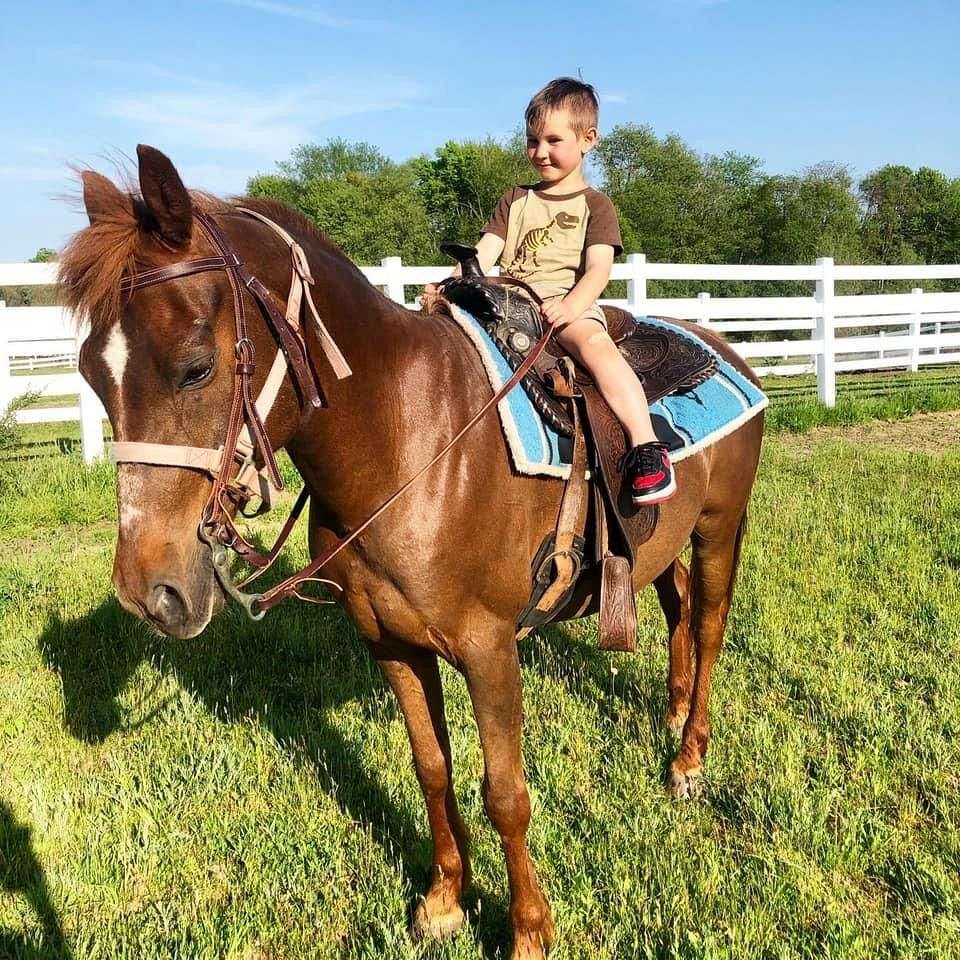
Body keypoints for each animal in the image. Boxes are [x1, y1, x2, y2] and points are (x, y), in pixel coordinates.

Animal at [61, 145, 764, 959]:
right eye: (90, 372)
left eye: (197, 366)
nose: (151, 592)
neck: (410, 439)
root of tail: (725, 346)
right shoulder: (390, 642)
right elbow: (432, 767)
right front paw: (444, 901)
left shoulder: (490, 648)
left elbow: (505, 793)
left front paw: (529, 930)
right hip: (658, 541)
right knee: (676, 605)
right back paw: (672, 711)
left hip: (720, 527)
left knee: (708, 626)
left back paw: (688, 759)